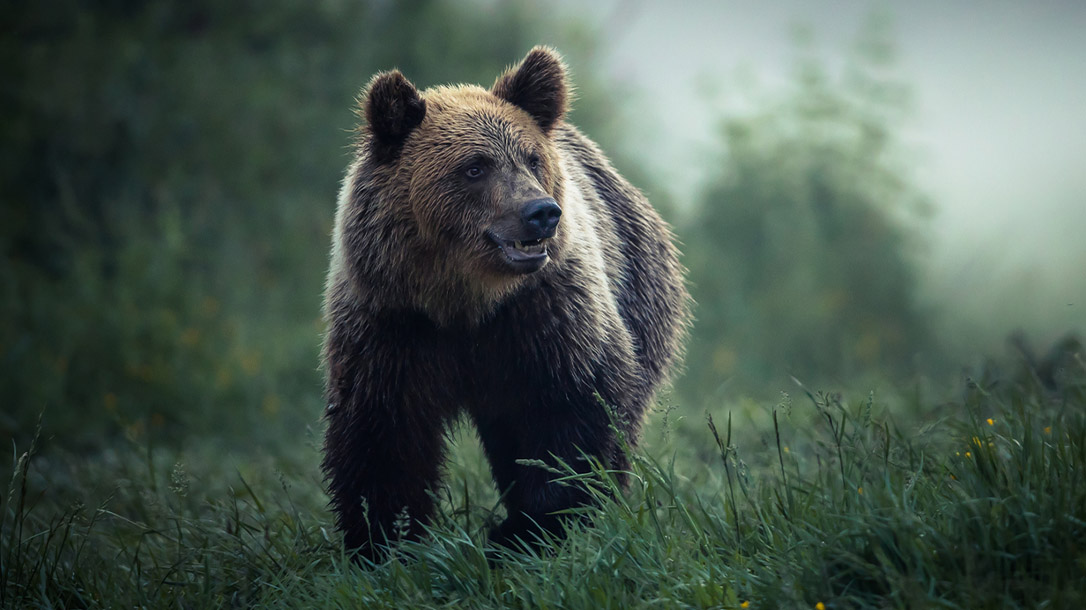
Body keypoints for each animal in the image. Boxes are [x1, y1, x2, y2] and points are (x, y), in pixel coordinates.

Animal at [321, 46, 689, 561]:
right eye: (475, 167)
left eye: (532, 160)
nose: (541, 212)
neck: (463, 302)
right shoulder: (391, 322)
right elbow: (382, 432)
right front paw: (383, 540)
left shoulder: (545, 317)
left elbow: (570, 413)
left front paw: (535, 528)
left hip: (642, 296)